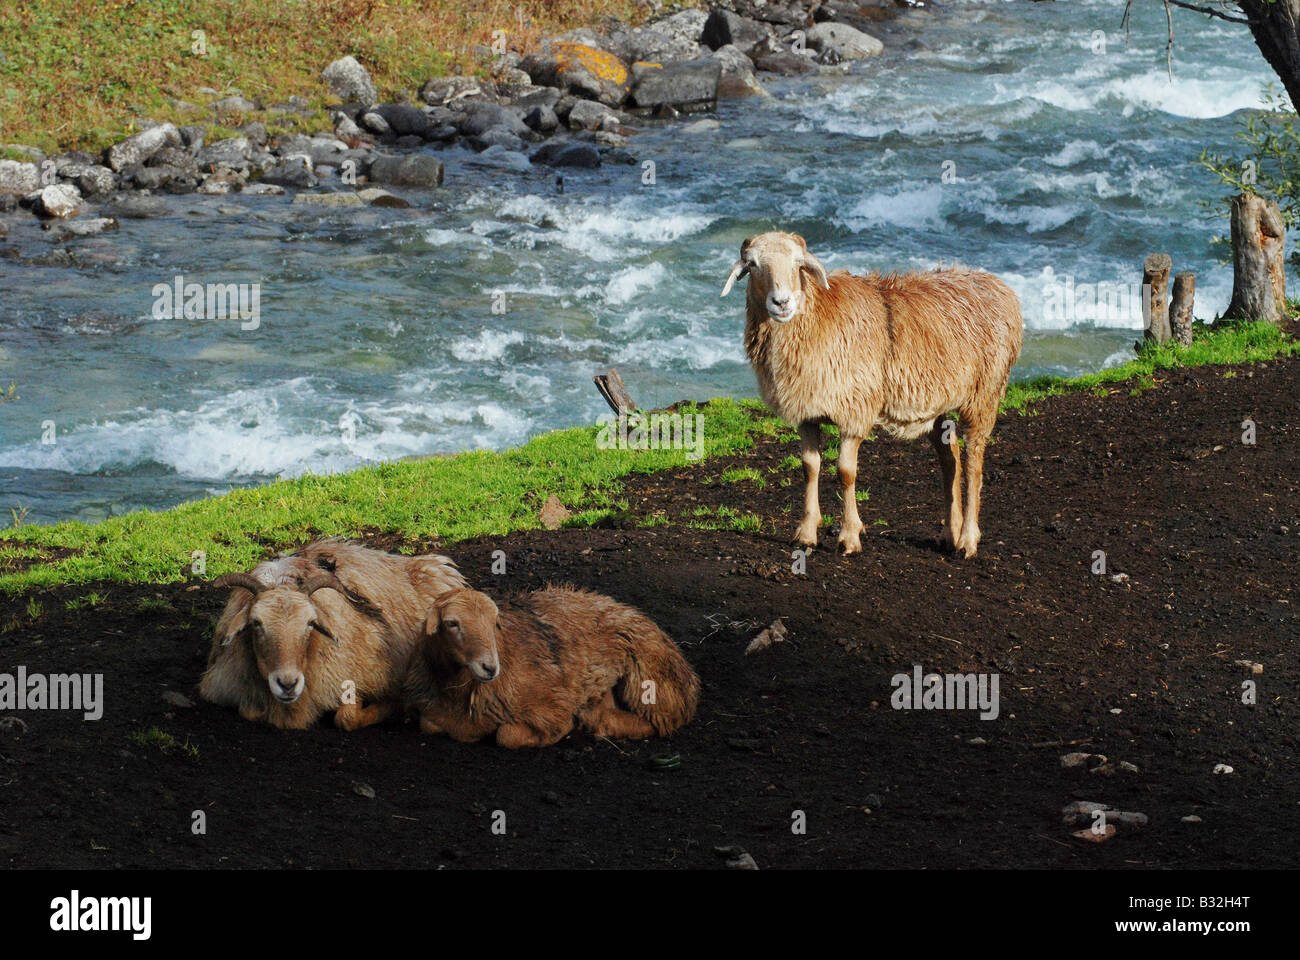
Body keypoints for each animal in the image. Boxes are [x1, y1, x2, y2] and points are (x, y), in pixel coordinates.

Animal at [199, 540, 467, 730]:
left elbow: (345, 719)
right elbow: (248, 711)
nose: (288, 684)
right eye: (256, 623)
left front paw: (392, 706)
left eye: (310, 623)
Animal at [404, 585, 700, 748]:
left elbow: (507, 735)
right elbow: (429, 725)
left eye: (494, 622)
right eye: (452, 623)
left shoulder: (551, 707)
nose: (490, 667)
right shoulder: (432, 713)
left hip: (650, 679)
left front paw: (561, 730)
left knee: (660, 721)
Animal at [721, 231, 1022, 558]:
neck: (816, 318)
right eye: (752, 264)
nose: (781, 302)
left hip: (985, 392)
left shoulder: (855, 409)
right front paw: (806, 533)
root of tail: (999, 285)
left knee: (973, 461)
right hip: (935, 400)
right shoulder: (807, 412)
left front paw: (850, 536)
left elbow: (845, 472)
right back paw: (949, 533)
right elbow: (809, 468)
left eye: (798, 264)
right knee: (950, 457)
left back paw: (967, 540)